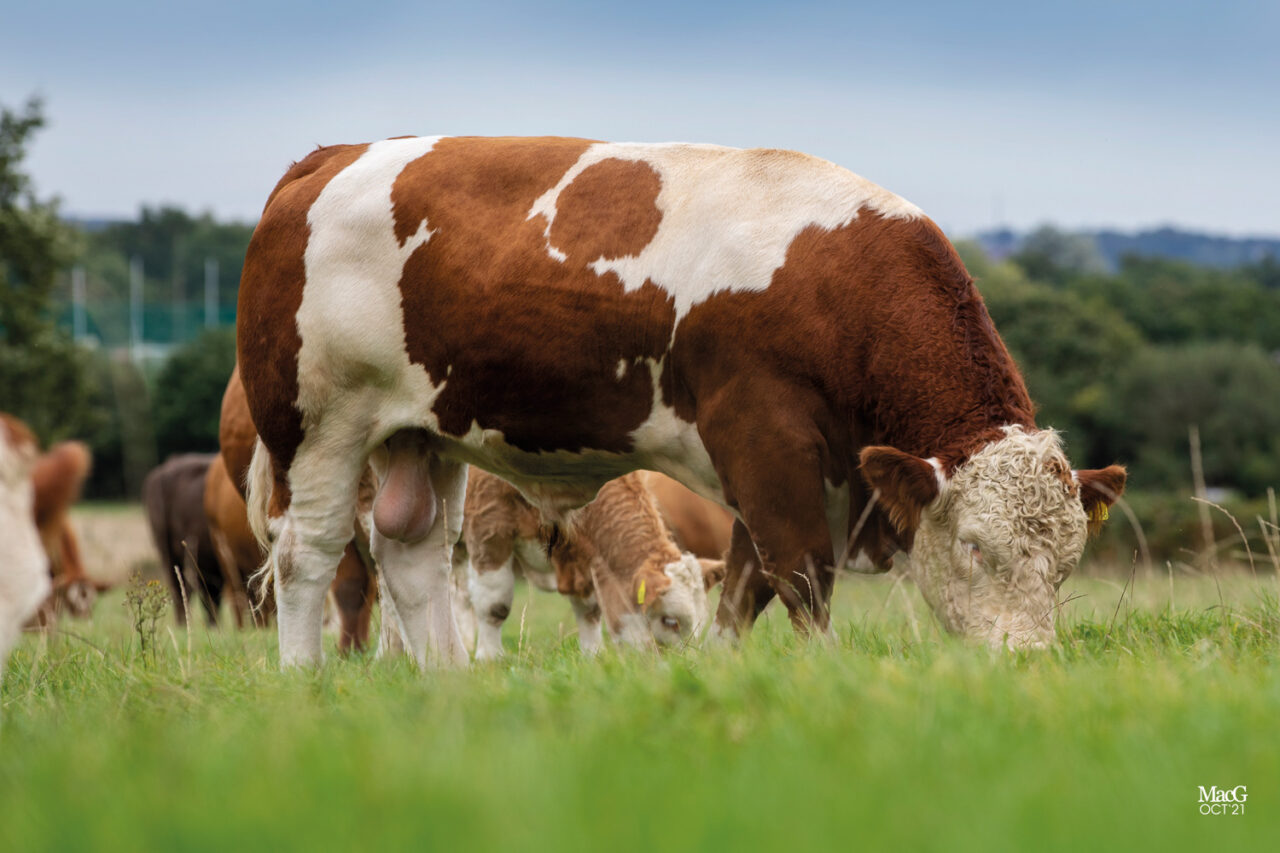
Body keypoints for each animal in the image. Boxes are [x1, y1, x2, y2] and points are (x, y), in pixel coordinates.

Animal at [460, 468, 719, 659]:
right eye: (671, 621)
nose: (685, 665)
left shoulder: (581, 555)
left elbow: (590, 611)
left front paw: (593, 655)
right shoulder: (489, 524)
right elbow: (495, 605)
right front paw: (490, 658)